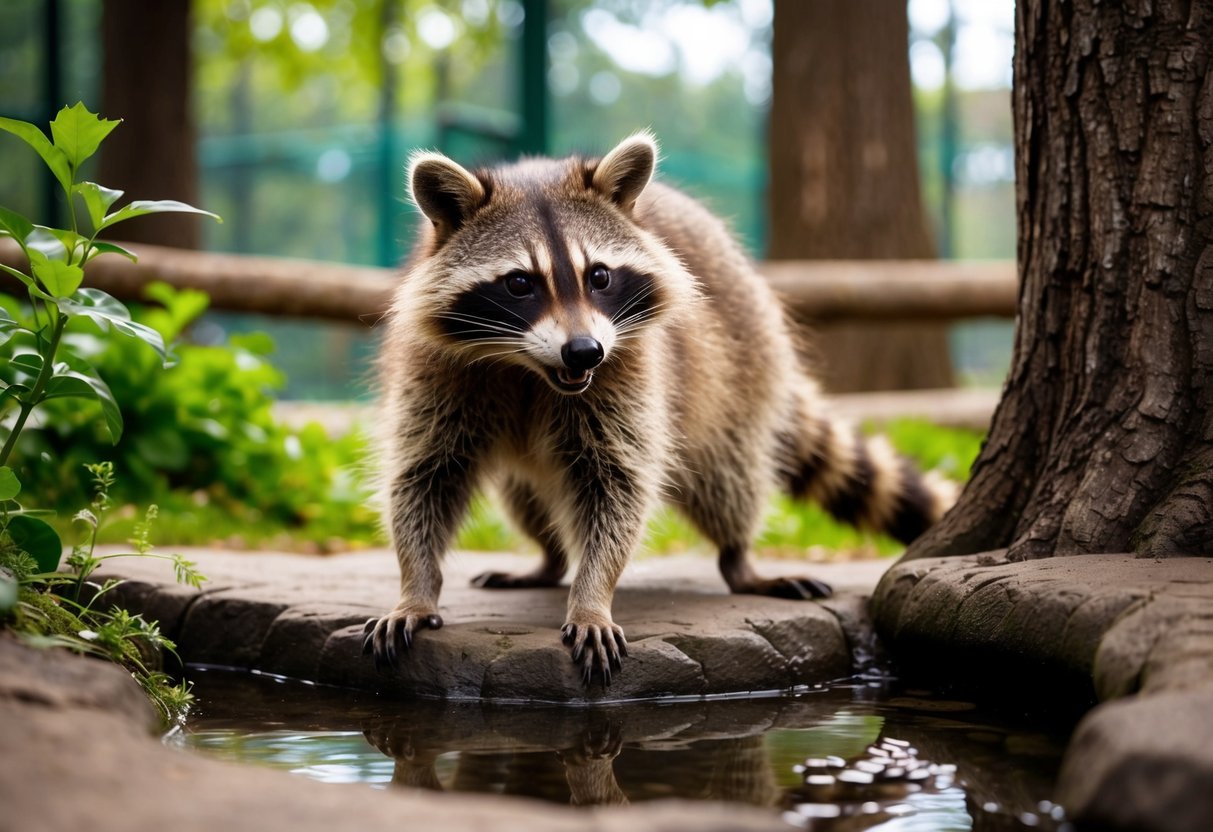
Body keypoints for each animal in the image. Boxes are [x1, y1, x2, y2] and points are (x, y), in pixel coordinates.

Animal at [363, 132, 956, 683]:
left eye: (599, 276)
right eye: (518, 283)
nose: (584, 351)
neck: (531, 370)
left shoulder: (630, 366)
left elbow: (617, 487)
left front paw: (592, 594)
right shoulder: (435, 373)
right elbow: (424, 477)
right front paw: (416, 587)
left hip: (743, 366)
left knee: (727, 479)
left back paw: (738, 558)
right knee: (526, 498)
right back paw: (549, 558)